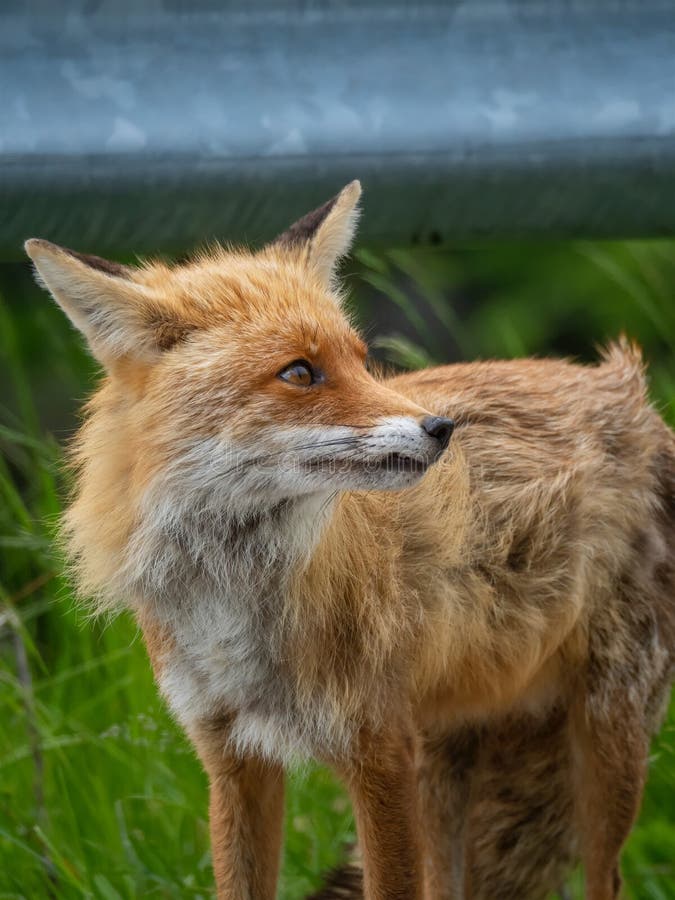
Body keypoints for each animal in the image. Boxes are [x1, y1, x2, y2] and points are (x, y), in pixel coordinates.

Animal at [25, 180, 675, 900]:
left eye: (363, 362)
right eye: (299, 373)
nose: (442, 428)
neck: (236, 600)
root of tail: (626, 389)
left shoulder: (378, 750)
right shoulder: (231, 755)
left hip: (606, 745)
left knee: (606, 878)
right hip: (445, 762)